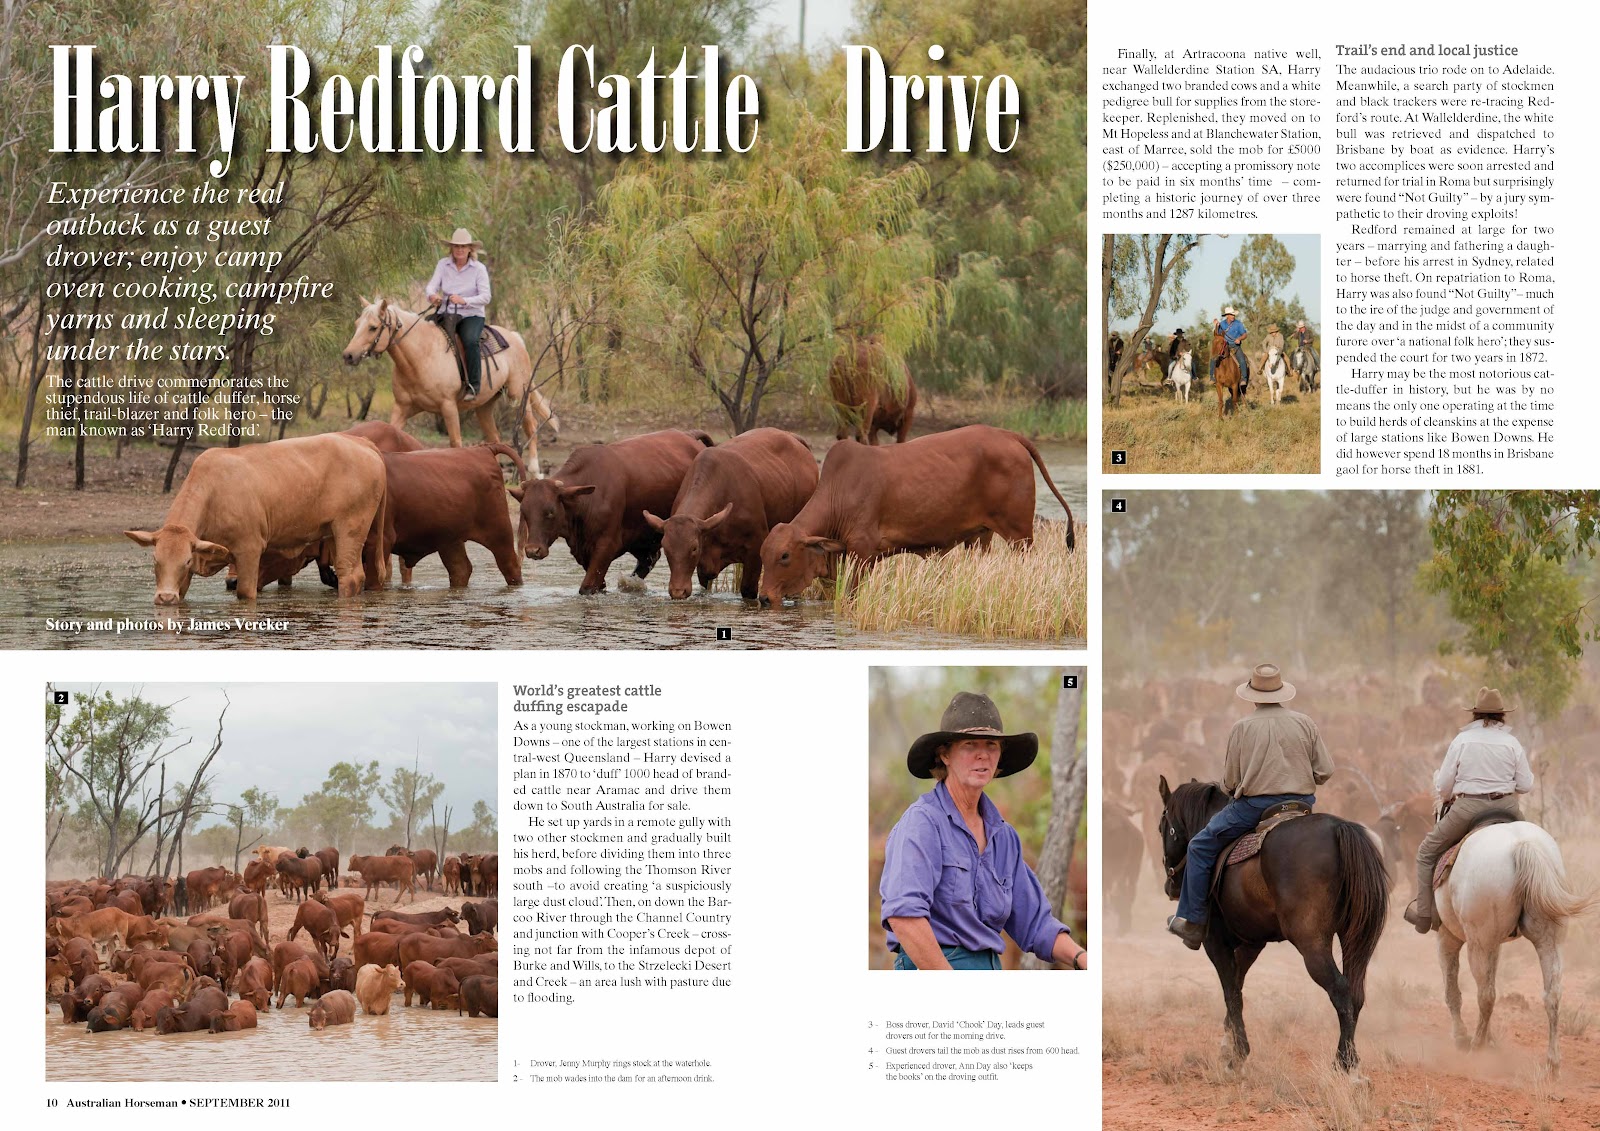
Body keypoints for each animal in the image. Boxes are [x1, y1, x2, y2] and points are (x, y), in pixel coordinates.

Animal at [340, 297, 560, 475]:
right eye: (357, 324)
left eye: (373, 327)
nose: (348, 355)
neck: (421, 356)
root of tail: (515, 337)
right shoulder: (402, 407)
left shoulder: (448, 407)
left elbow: (455, 443)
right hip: (485, 406)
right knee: (495, 437)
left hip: (519, 394)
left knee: (530, 426)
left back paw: (535, 470)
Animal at [1158, 776, 1390, 1072]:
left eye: (1162, 828)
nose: (1171, 887)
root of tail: (1340, 829)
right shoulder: (1250, 945)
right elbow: (1237, 986)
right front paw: (1228, 1044)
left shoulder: (1215, 943)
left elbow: (1231, 993)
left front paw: (1238, 1055)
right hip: (1354, 939)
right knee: (1355, 992)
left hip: (1313, 944)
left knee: (1340, 990)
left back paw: (1345, 1064)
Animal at [1434, 821, 1598, 1076]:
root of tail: (1524, 844)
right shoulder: (1494, 946)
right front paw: (1489, 1040)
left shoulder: (1448, 938)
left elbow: (1452, 991)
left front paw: (1462, 1038)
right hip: (1547, 941)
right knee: (1552, 994)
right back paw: (1552, 1063)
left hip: (1478, 944)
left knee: (1486, 995)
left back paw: (1475, 1048)